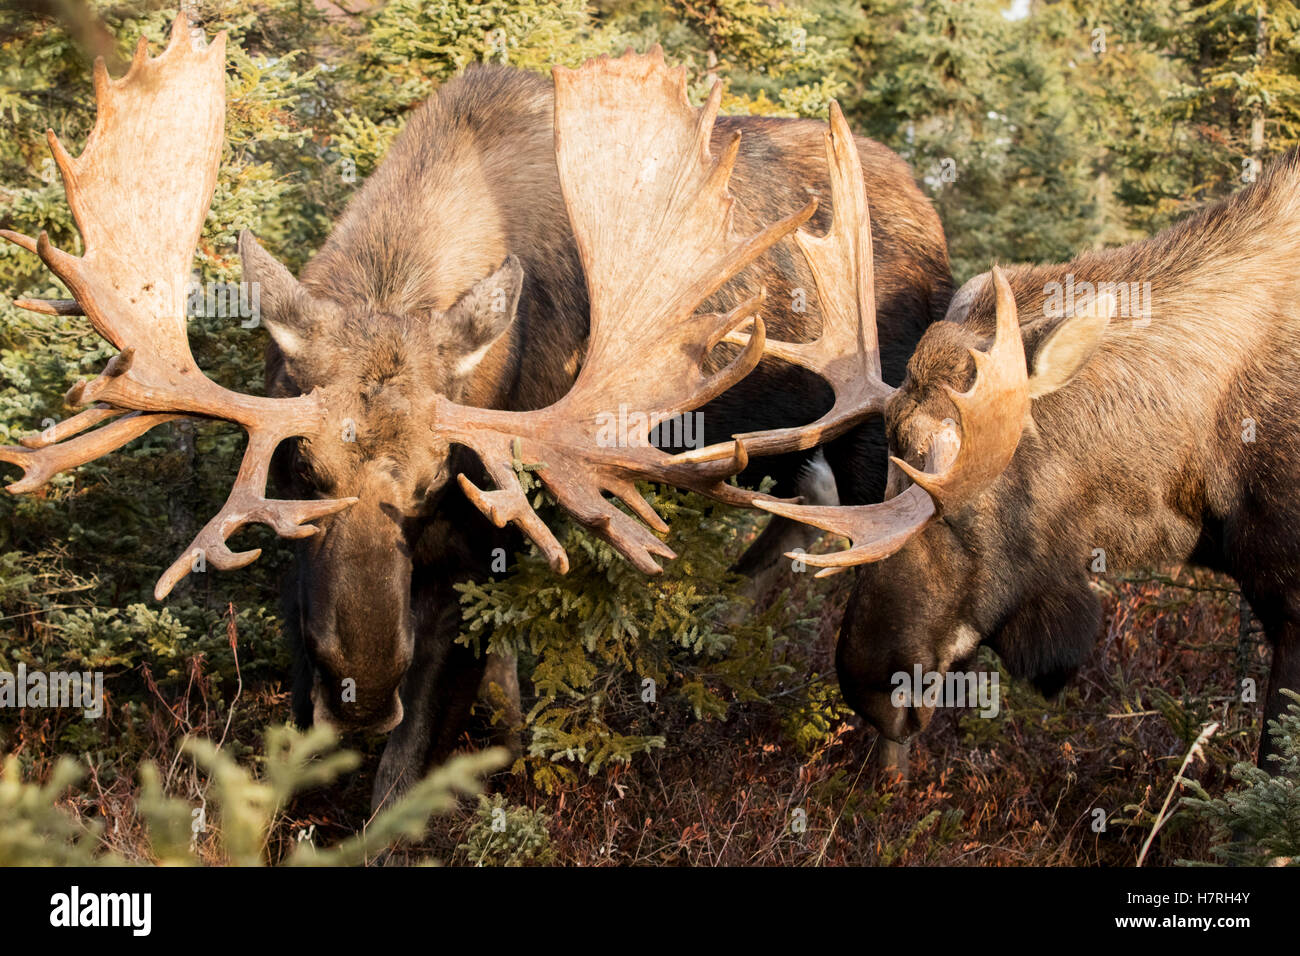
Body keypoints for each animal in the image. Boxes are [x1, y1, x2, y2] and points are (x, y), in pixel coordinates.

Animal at [0, 19, 954, 808]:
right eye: (303, 468)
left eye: (436, 481)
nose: (365, 689)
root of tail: (927, 205)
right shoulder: (293, 553)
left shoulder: (482, 541)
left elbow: (403, 775)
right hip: (778, 438)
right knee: (795, 509)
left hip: (881, 423)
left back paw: (889, 779)